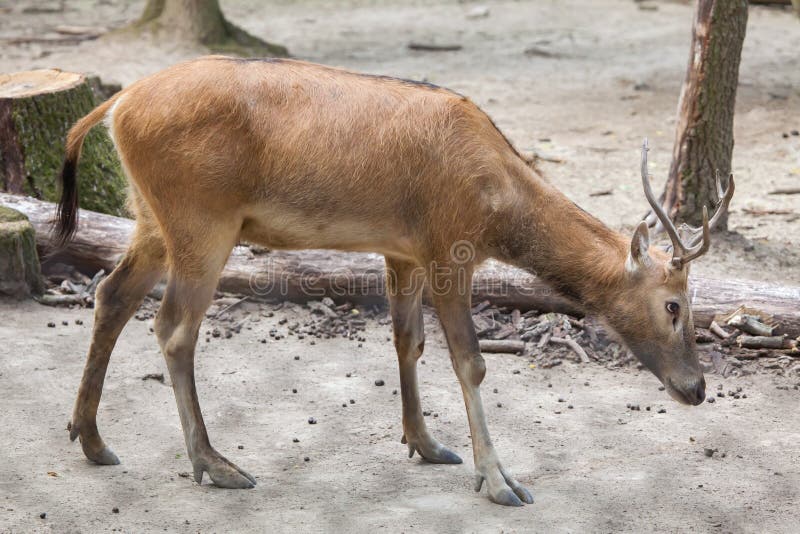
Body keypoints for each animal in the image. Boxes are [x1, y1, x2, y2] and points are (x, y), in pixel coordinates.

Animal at [57, 56, 733, 507]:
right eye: (674, 305)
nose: (698, 389)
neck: (498, 205)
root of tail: (113, 106)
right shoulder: (449, 247)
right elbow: (470, 361)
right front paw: (500, 480)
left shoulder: (401, 251)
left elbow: (409, 342)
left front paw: (427, 444)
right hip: (203, 219)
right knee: (173, 328)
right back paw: (215, 464)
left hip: (151, 215)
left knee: (111, 294)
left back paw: (91, 439)